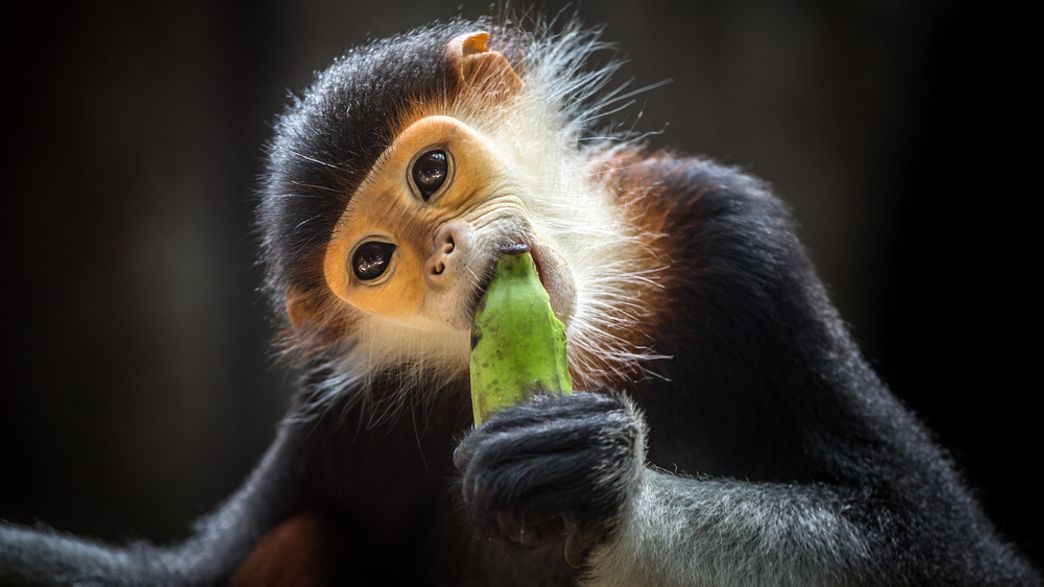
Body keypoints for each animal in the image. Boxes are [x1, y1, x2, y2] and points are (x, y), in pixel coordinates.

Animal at [1, 14, 1040, 587]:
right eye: (373, 259)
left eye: (430, 173)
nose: (444, 252)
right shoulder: (339, 413)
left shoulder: (734, 230)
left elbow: (939, 543)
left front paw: (599, 476)